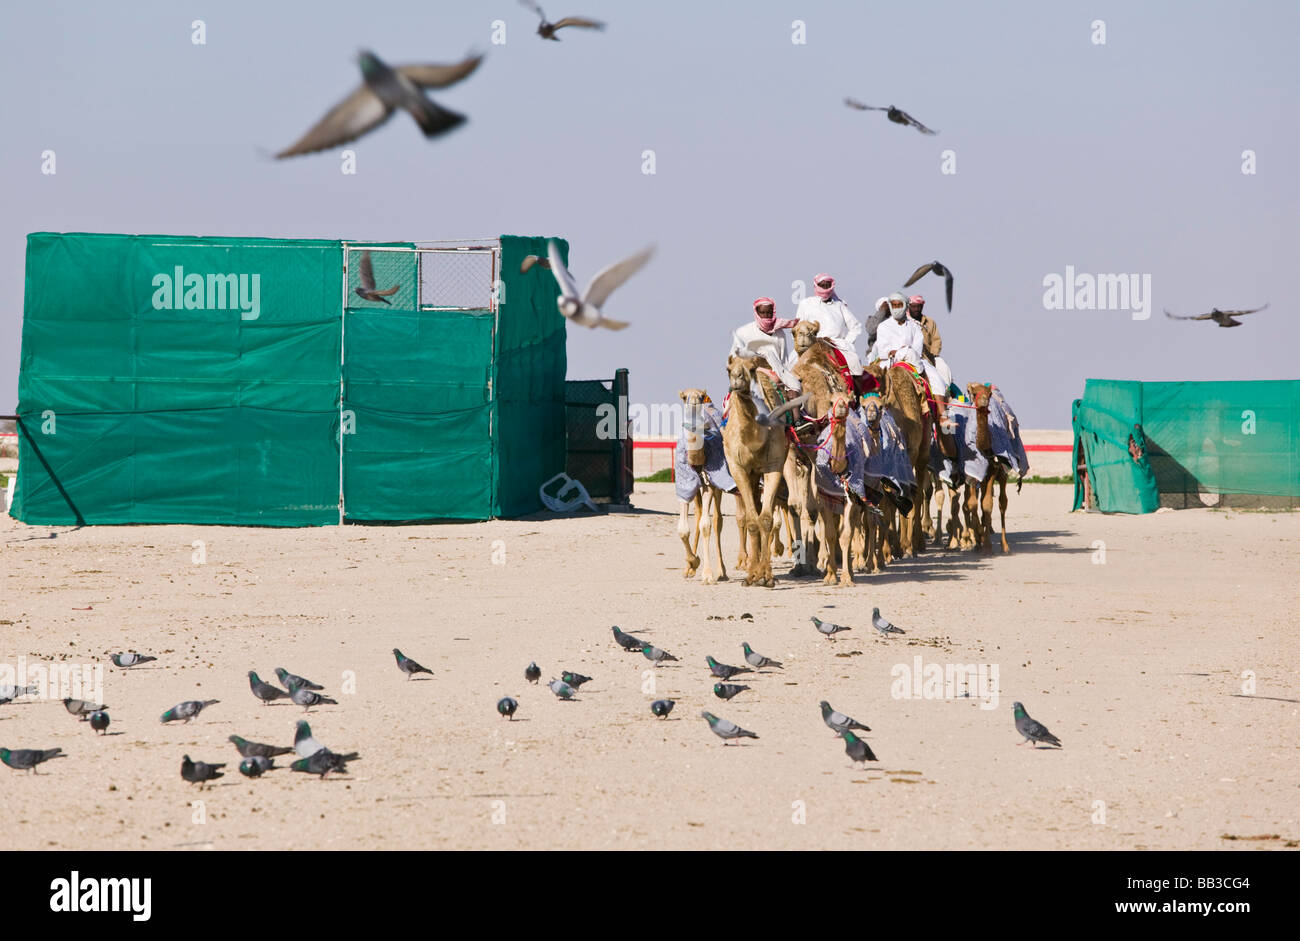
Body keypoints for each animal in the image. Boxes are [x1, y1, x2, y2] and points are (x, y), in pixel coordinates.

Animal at [676, 388, 730, 584]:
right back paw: (689, 568)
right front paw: (692, 563)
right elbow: (683, 530)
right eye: (684, 397)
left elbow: (706, 525)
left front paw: (707, 574)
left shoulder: (710, 485)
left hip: (718, 487)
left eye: (700, 396)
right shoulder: (684, 484)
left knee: (717, 520)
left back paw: (722, 571)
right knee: (699, 514)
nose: (693, 404)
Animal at [722, 355, 792, 587]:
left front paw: (766, 576)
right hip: (751, 476)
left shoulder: (774, 466)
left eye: (751, 369)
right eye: (728, 369)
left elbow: (766, 518)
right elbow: (752, 520)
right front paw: (751, 575)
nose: (737, 379)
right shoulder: (738, 469)